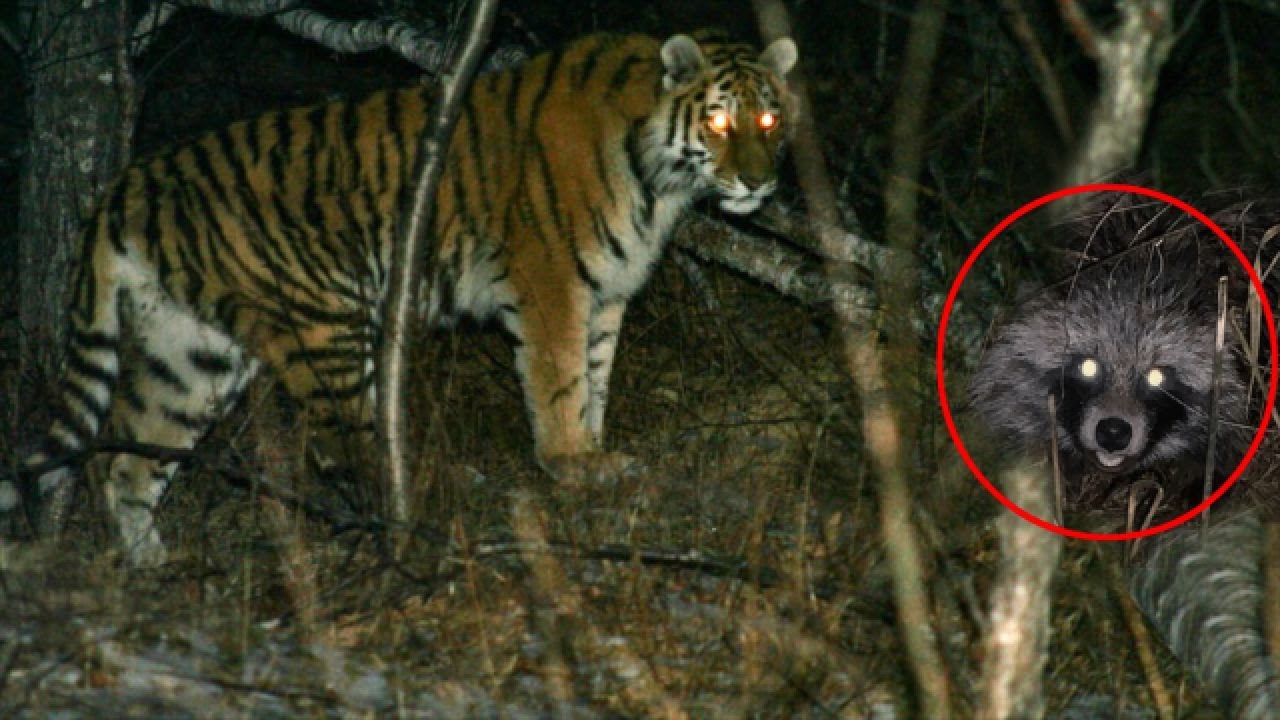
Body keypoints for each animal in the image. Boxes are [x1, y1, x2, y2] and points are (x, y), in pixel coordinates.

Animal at [6, 31, 799, 565]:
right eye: (719, 121)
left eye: (768, 121)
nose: (759, 184)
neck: (655, 173)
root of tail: (125, 184)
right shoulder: (552, 283)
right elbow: (560, 383)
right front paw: (570, 466)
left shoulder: (604, 295)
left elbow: (595, 379)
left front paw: (599, 461)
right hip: (326, 324)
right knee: (345, 447)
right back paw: (412, 525)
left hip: (191, 355)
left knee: (125, 460)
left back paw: (147, 567)